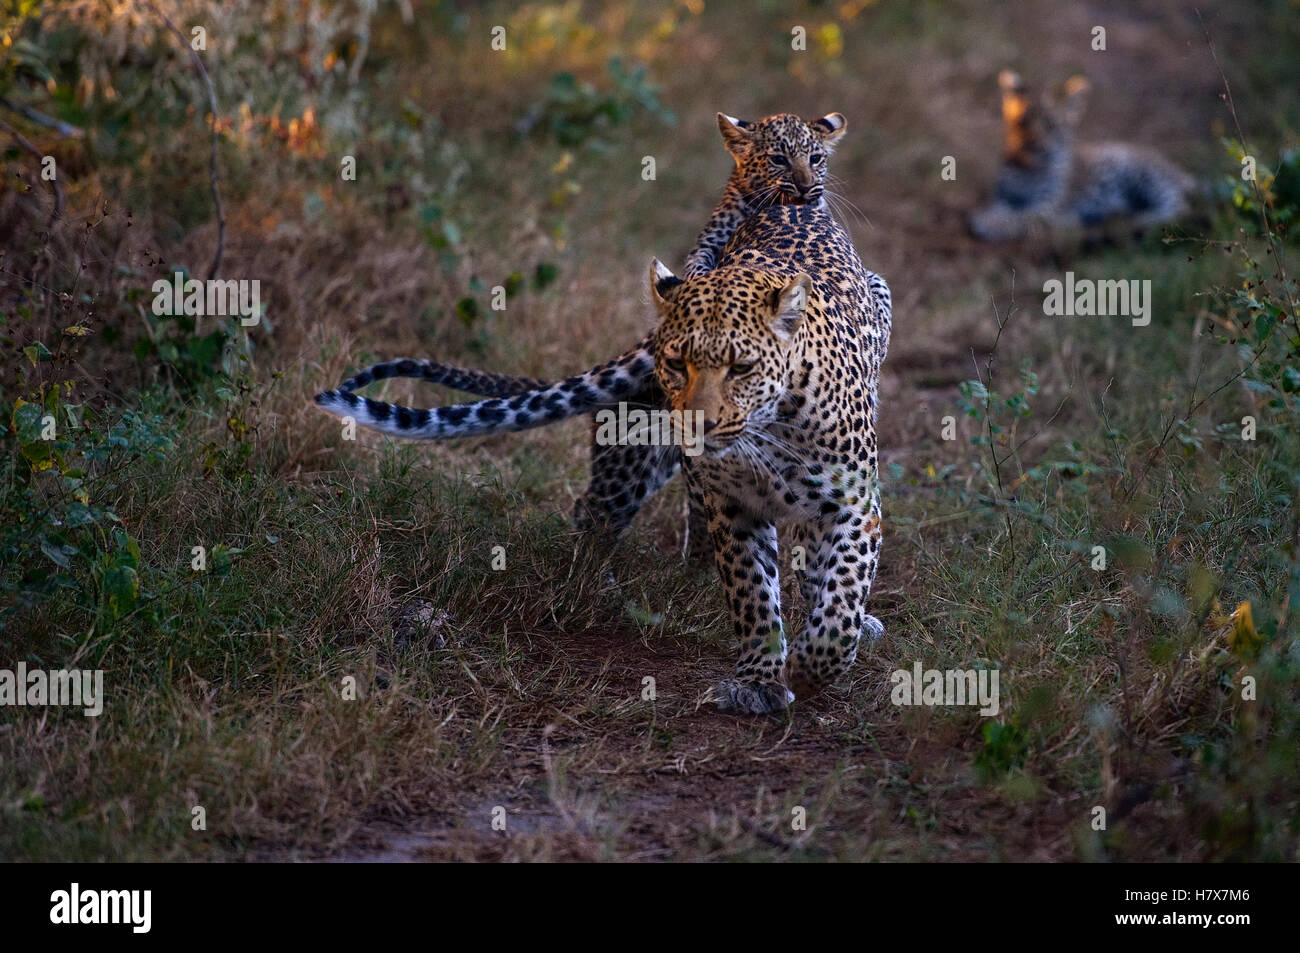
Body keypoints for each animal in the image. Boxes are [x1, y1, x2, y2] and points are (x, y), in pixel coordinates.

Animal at [316, 200, 891, 714]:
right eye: (677, 363)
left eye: (742, 367)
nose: (697, 424)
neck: (766, 431)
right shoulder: (734, 508)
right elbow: (752, 595)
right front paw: (761, 681)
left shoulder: (855, 506)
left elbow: (841, 599)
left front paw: (813, 667)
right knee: (600, 514)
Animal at [969, 70, 1194, 241]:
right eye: (1023, 122)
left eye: (1051, 125)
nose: (1034, 146)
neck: (1029, 169)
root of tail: (1180, 172)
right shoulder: (1003, 196)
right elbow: (1003, 209)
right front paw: (989, 216)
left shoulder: (1050, 204)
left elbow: (1025, 216)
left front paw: (989, 223)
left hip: (1143, 174)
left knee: (1181, 205)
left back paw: (1143, 219)